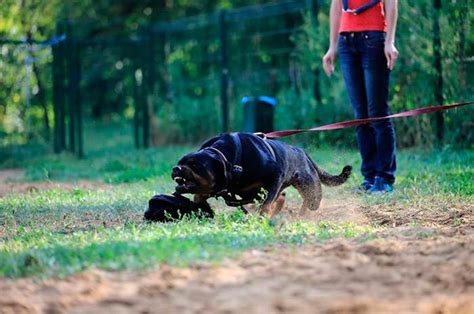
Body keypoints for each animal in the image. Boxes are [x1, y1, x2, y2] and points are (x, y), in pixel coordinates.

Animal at [171, 131, 352, 217]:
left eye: (195, 165)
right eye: (181, 161)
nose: (175, 168)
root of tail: (304, 154)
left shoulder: (275, 176)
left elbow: (266, 204)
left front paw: (262, 217)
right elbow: (198, 198)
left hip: (311, 191)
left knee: (308, 203)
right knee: (283, 196)